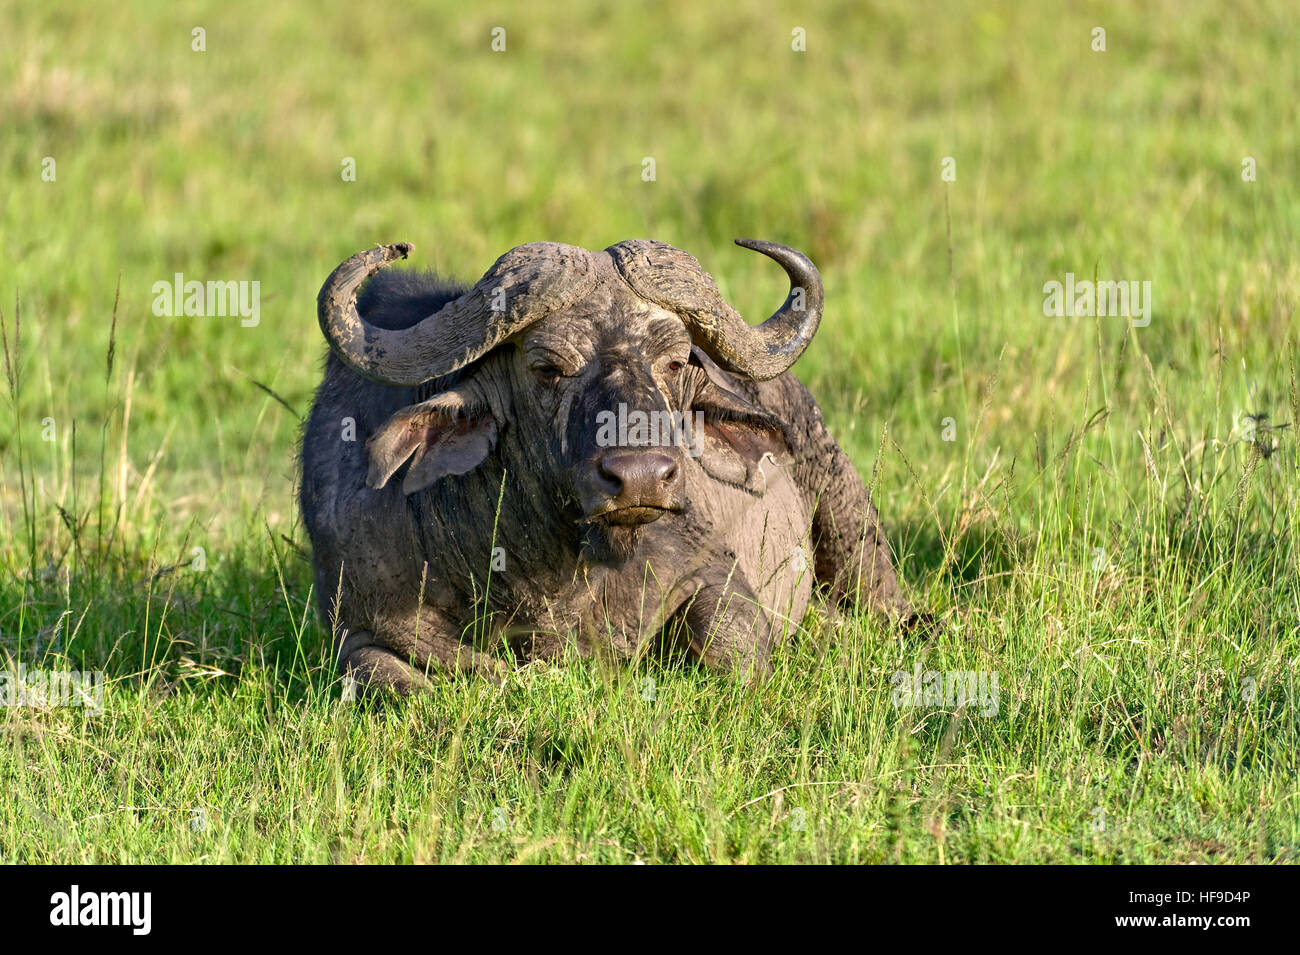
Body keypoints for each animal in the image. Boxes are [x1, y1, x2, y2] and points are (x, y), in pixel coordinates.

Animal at [301, 239, 925, 694]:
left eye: (674, 362)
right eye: (548, 368)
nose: (641, 477)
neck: (550, 580)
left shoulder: (711, 571)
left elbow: (733, 654)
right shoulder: (357, 631)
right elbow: (399, 684)